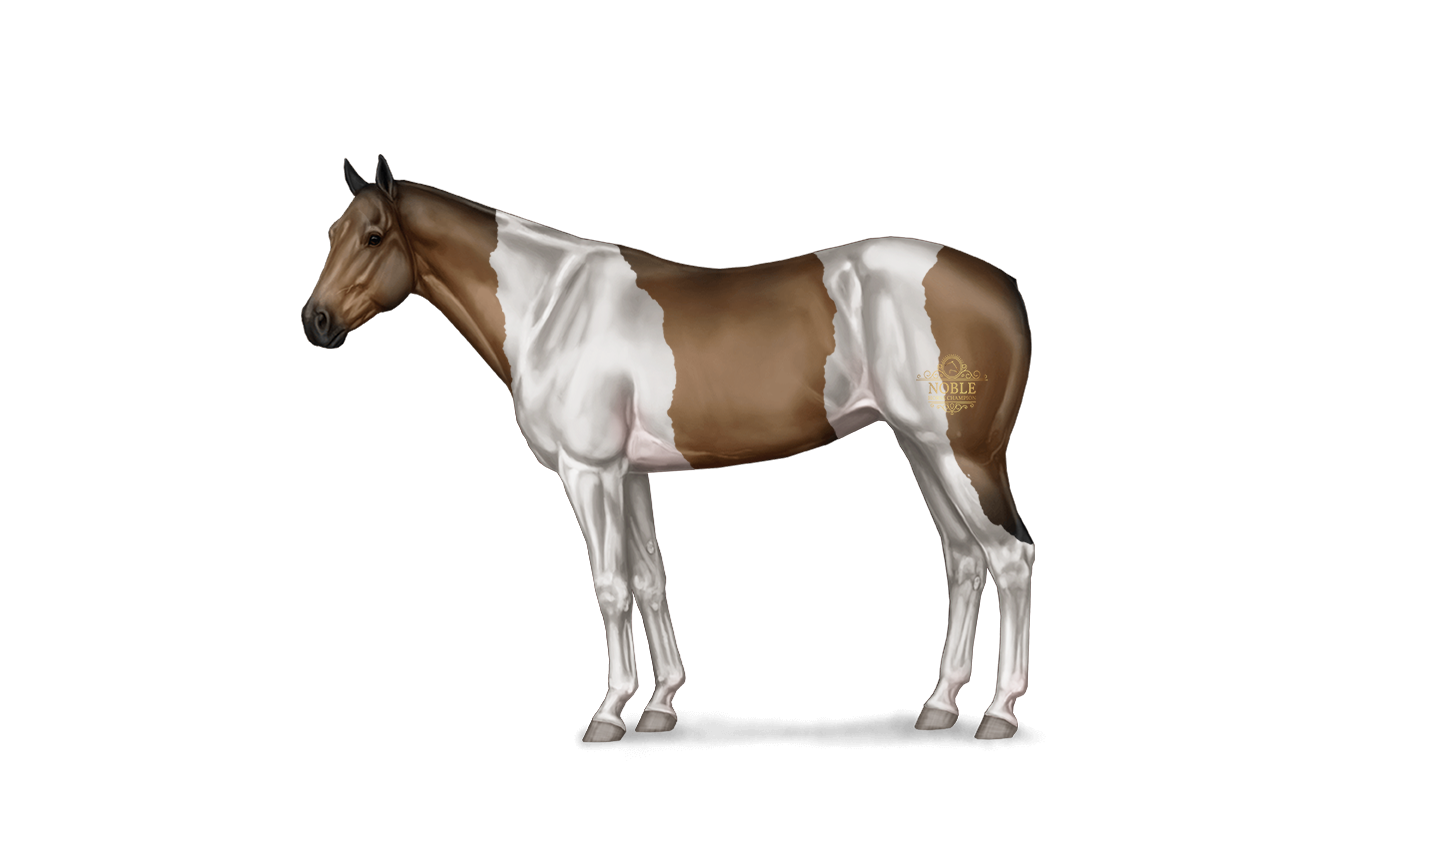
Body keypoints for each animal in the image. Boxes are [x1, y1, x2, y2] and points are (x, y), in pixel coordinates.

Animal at [302, 157, 1035, 742]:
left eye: (373, 235)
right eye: (332, 232)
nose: (316, 322)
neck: (552, 308)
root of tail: (1002, 285)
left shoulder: (590, 473)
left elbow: (610, 585)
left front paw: (608, 712)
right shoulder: (626, 474)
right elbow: (651, 580)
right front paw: (659, 706)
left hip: (961, 457)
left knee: (1011, 560)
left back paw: (999, 713)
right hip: (922, 449)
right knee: (965, 561)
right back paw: (940, 704)